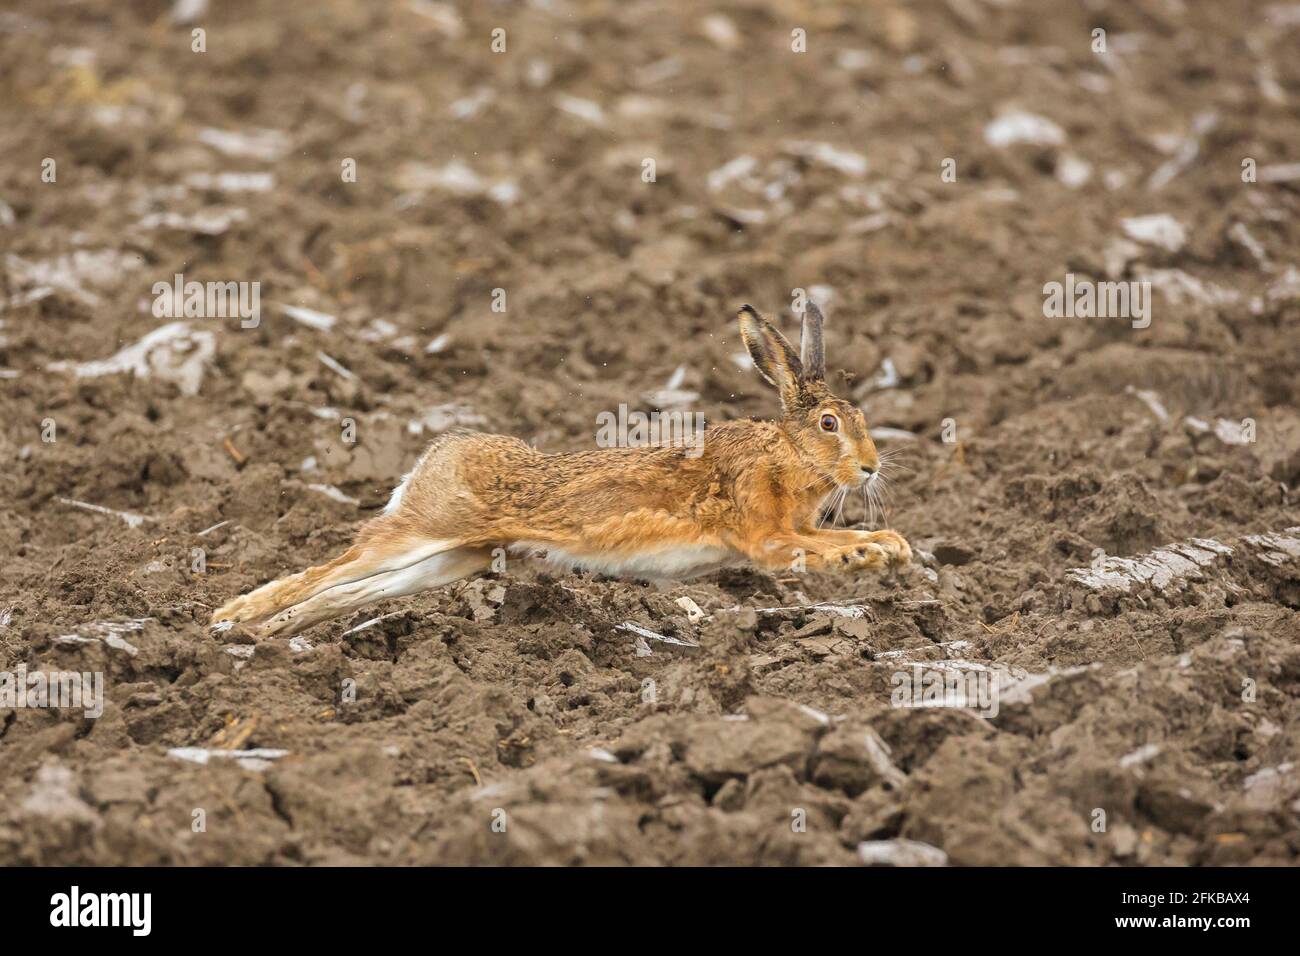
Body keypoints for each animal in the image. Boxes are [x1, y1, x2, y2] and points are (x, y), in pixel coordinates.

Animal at [211, 303, 911, 637]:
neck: (785, 453)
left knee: (348, 592)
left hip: (455, 557)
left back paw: (271, 633)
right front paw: (866, 557)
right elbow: (810, 550)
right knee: (324, 571)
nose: (871, 468)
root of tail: (436, 456)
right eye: (830, 424)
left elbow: (841, 534)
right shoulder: (766, 537)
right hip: (423, 531)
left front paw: (894, 548)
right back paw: (233, 618)